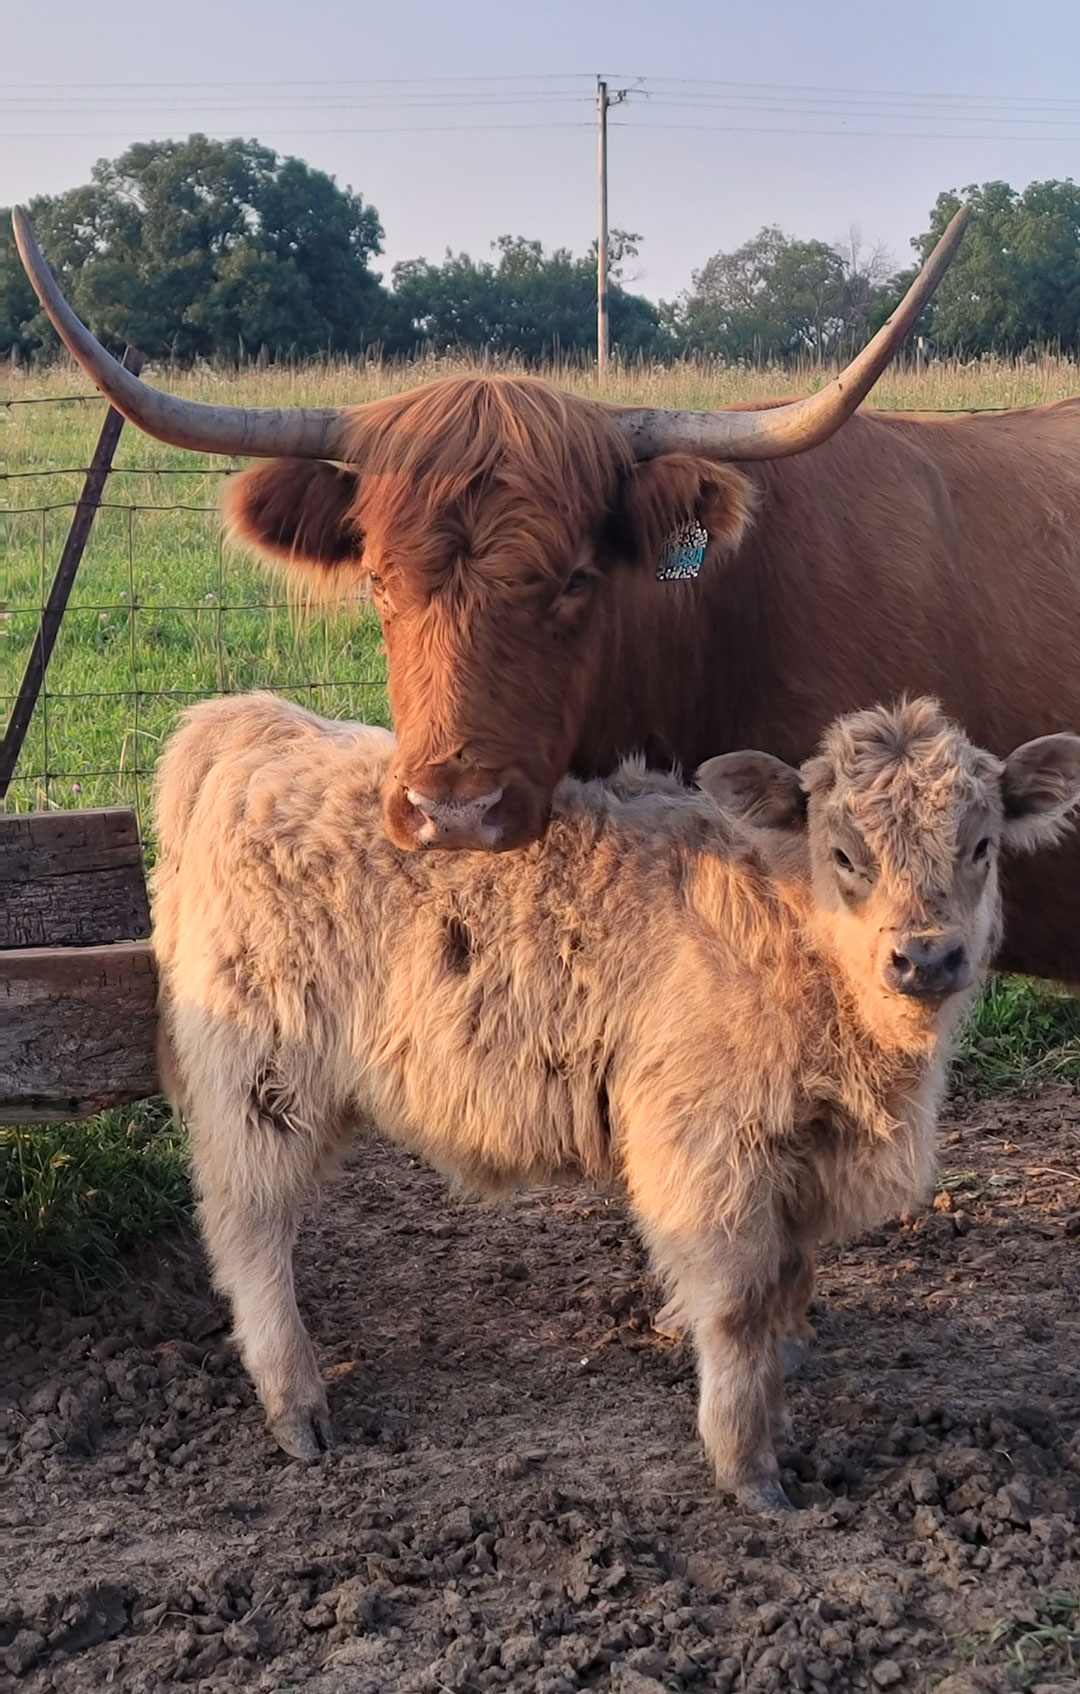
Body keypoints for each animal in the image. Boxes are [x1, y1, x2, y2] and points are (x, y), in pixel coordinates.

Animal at [150, 690, 1080, 1509]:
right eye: (846, 855)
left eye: (981, 846)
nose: (925, 958)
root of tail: (260, 721)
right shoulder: (709, 1150)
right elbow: (739, 1308)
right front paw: (749, 1468)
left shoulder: (800, 1163)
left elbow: (786, 1292)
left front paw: (779, 1411)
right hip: (262, 1079)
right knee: (250, 1230)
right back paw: (297, 1406)